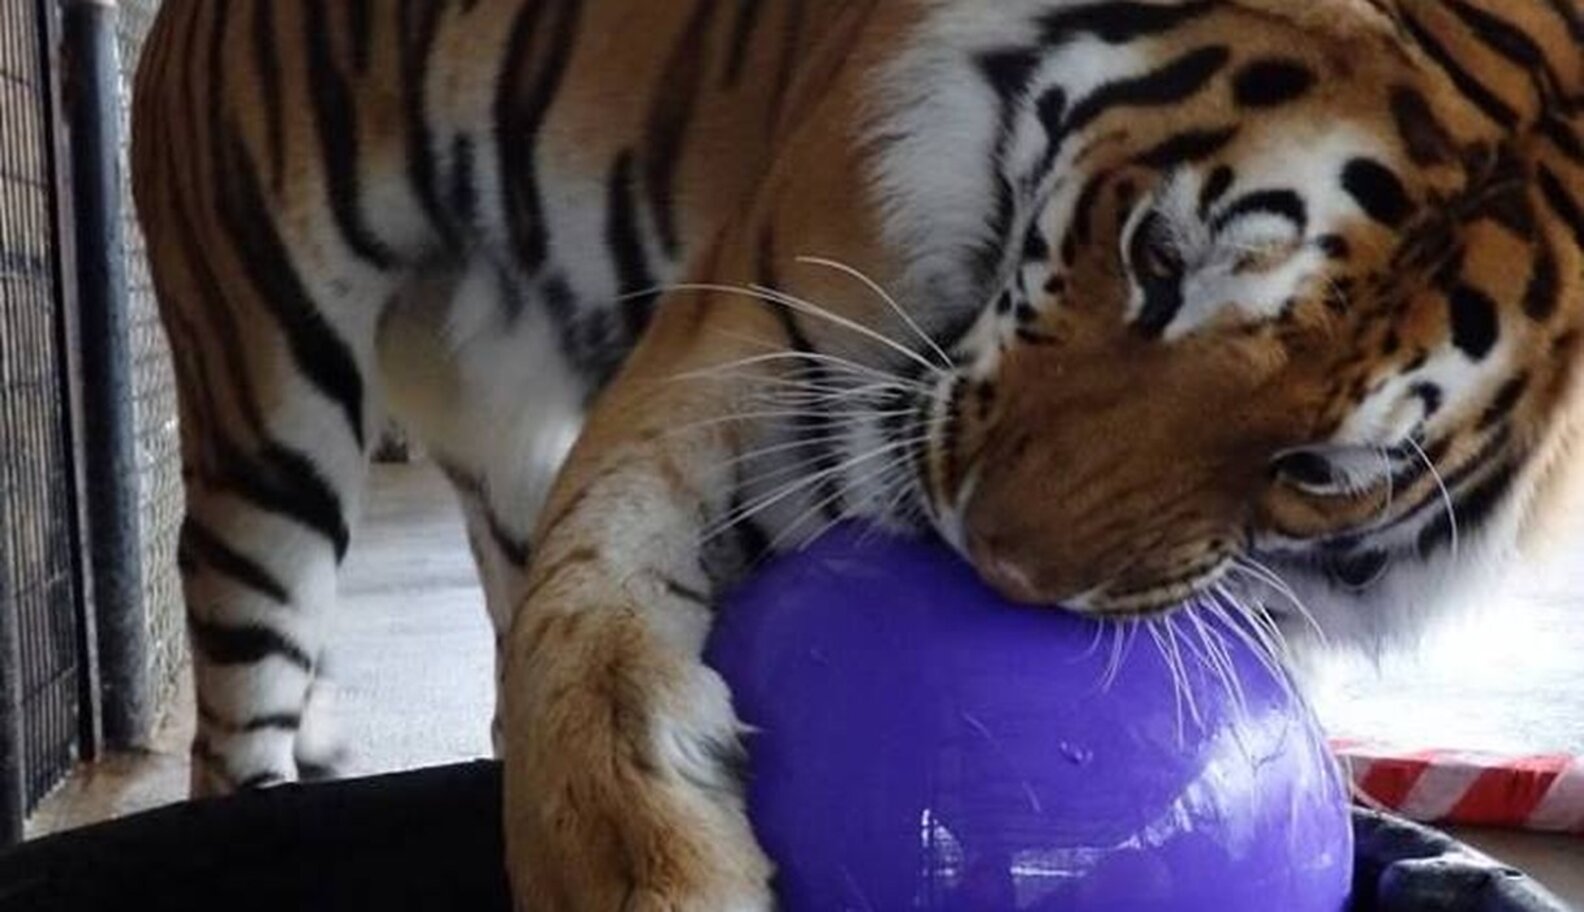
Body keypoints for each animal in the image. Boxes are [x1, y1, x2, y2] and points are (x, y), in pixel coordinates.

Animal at [131, 0, 1584, 907]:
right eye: (1156, 257)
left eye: (1320, 472)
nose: (995, 561)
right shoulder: (740, 354)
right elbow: (592, 635)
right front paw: (641, 871)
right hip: (265, 399)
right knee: (237, 714)